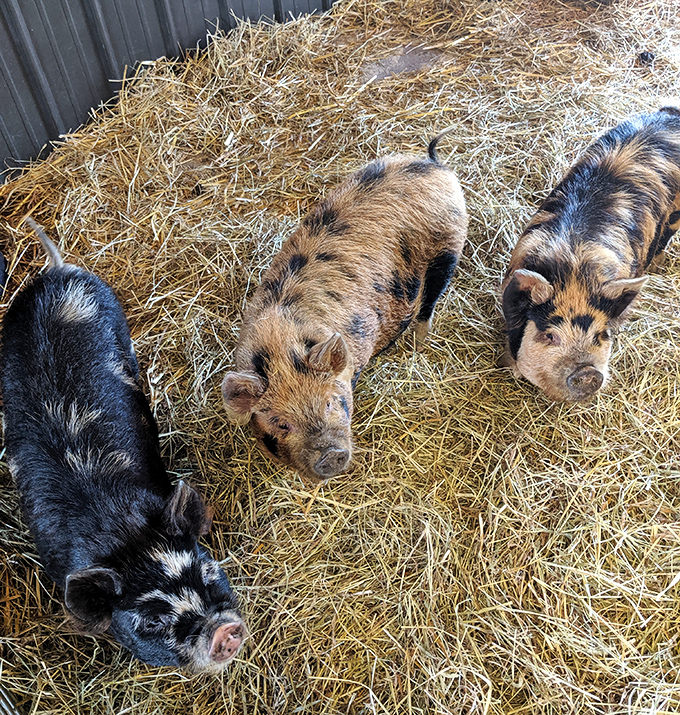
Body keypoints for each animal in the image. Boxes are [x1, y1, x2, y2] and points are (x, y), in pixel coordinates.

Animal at [222, 133, 468, 480]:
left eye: (329, 403)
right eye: (282, 424)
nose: (331, 455)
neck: (280, 340)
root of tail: (432, 164)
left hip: (449, 246)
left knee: (431, 298)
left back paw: (418, 342)